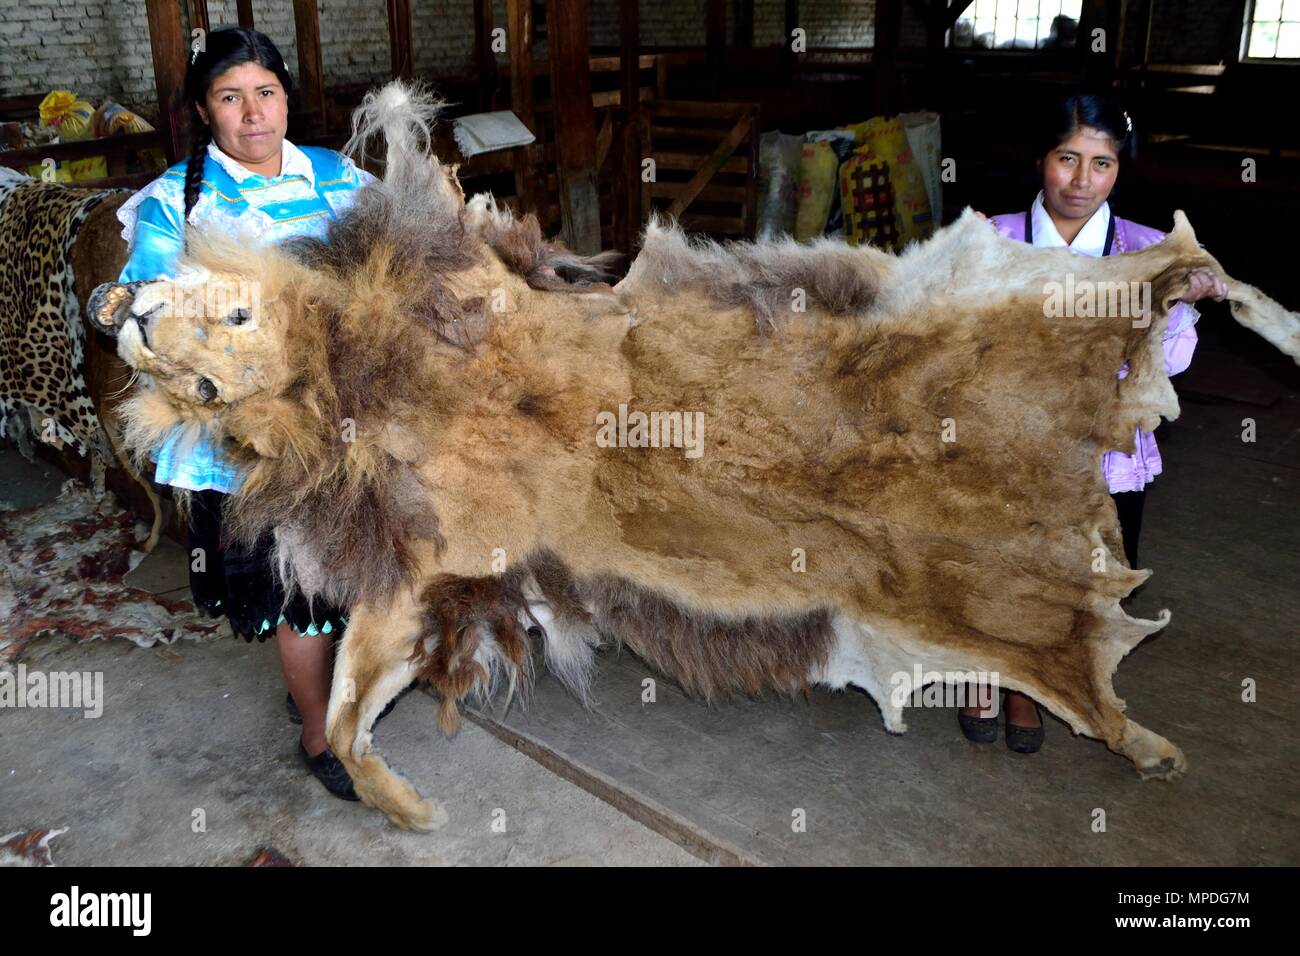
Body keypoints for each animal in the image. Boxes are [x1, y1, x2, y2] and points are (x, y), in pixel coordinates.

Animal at [89, 82, 1300, 830]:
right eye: (201, 393)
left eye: (234, 325)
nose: (130, 313)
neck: (363, 376)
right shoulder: (435, 567)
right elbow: (346, 706)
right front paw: (403, 802)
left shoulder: (450, 254)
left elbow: (407, 153)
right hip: (985, 609)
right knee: (1073, 658)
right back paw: (1140, 734)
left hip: (1048, 301)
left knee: (1181, 268)